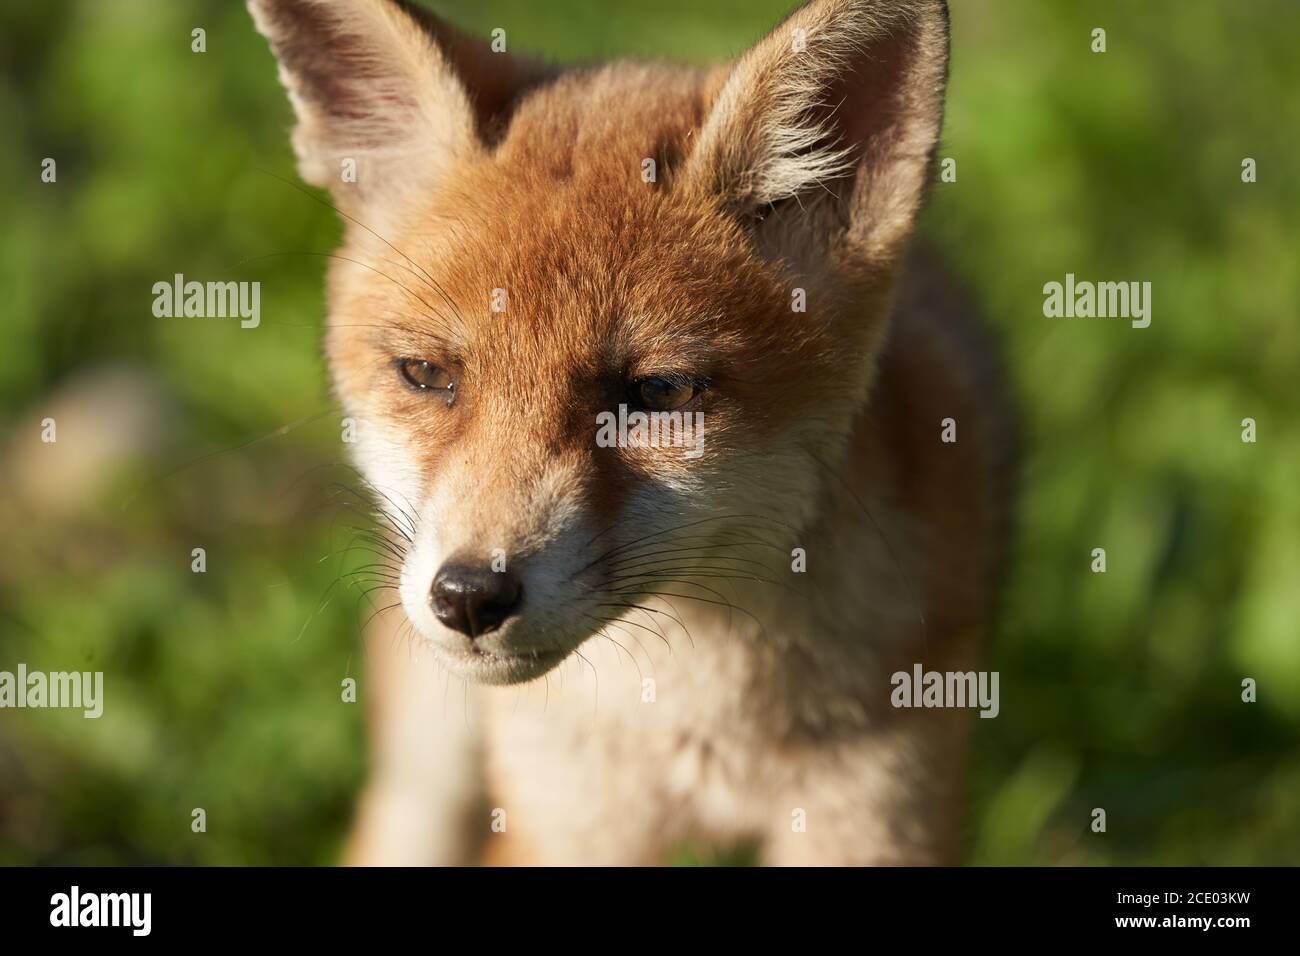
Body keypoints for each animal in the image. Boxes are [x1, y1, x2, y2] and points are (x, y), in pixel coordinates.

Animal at [248, 0, 1015, 865]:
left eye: (657, 393)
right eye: (426, 373)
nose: (470, 596)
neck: (696, 723)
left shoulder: (876, 810)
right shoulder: (569, 820)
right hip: (432, 745)